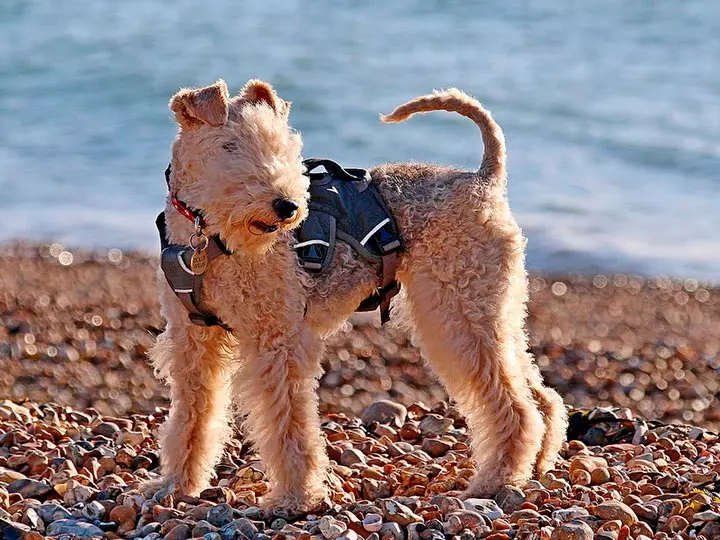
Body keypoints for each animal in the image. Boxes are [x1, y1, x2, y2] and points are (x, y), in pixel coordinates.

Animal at [149, 78, 568, 512]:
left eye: (283, 144)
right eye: (229, 145)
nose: (287, 206)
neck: (205, 238)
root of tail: (485, 178)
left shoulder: (277, 340)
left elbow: (288, 425)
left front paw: (296, 497)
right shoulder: (194, 341)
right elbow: (192, 416)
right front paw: (176, 484)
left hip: (456, 313)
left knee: (515, 407)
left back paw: (494, 479)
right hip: (493, 310)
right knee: (540, 394)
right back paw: (537, 464)